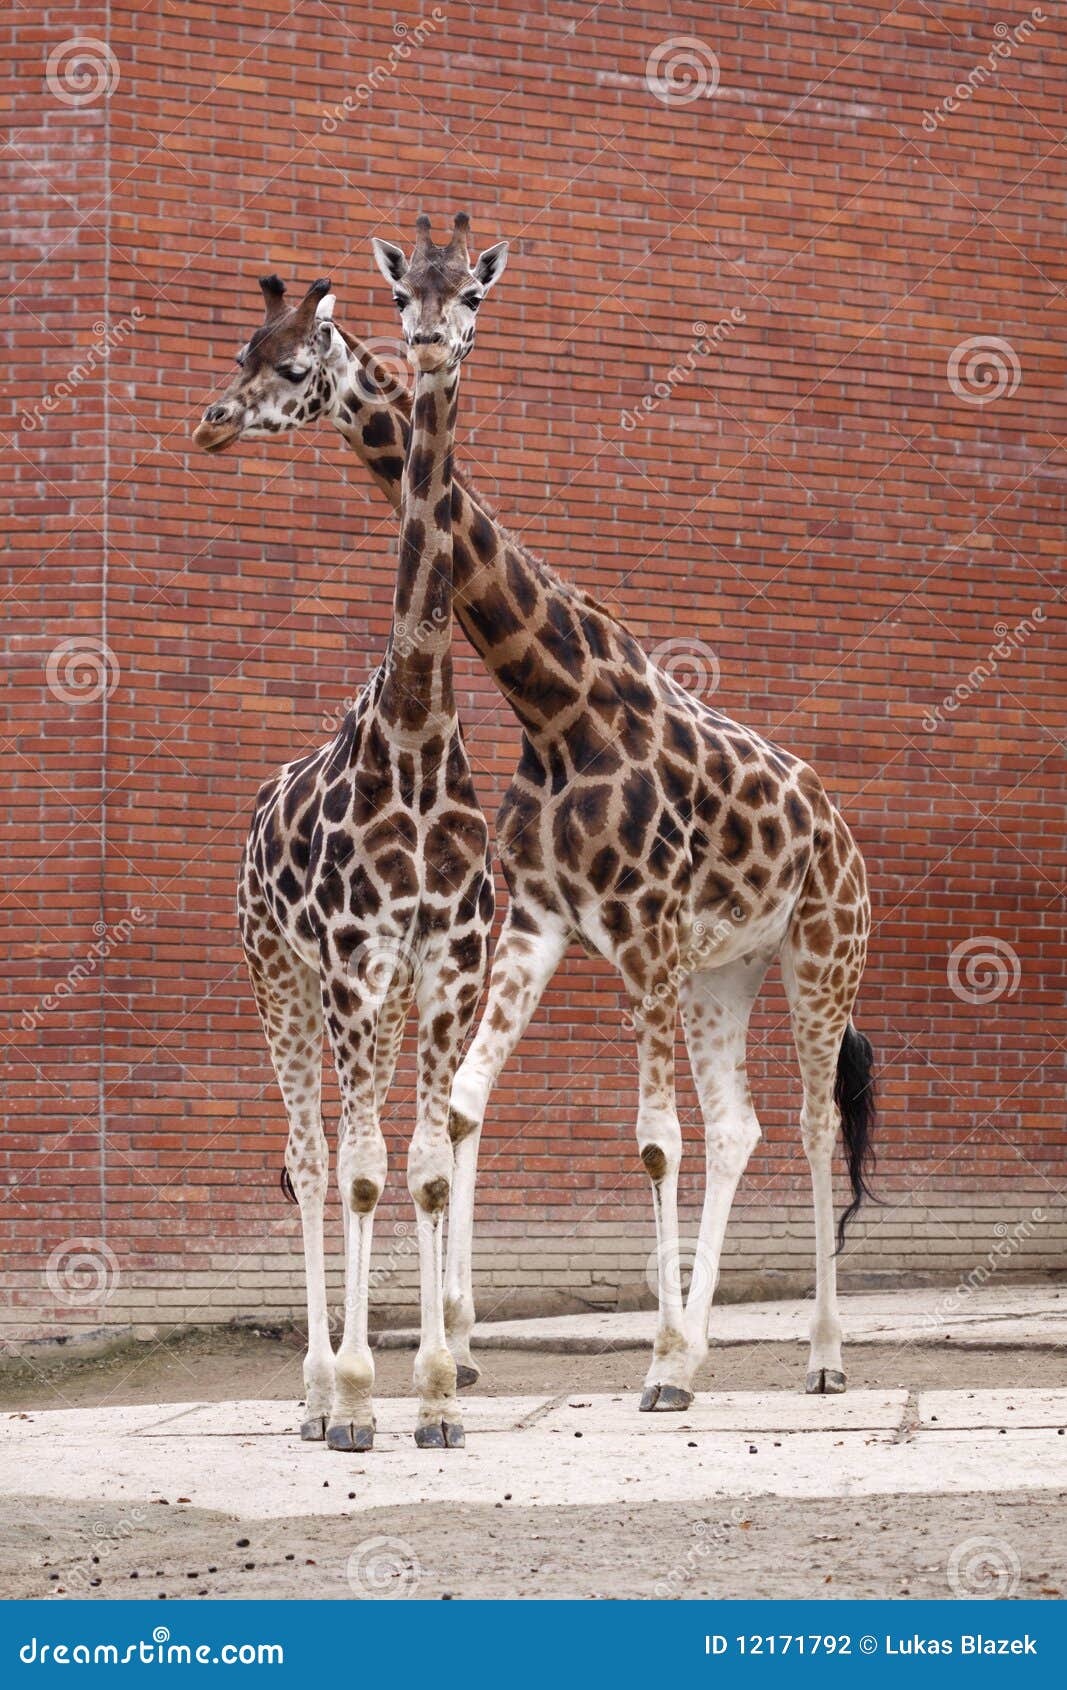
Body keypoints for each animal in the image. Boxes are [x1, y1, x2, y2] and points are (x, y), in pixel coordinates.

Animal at [195, 267, 877, 1412]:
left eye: (288, 366)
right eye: (242, 349)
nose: (208, 421)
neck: (555, 705)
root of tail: (841, 829)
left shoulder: (640, 928)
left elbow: (651, 1143)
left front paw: (651, 1359)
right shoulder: (542, 922)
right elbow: (469, 1108)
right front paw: (463, 1343)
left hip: (821, 951)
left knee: (812, 1121)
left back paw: (817, 1354)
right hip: (722, 972)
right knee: (738, 1124)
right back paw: (700, 1342)